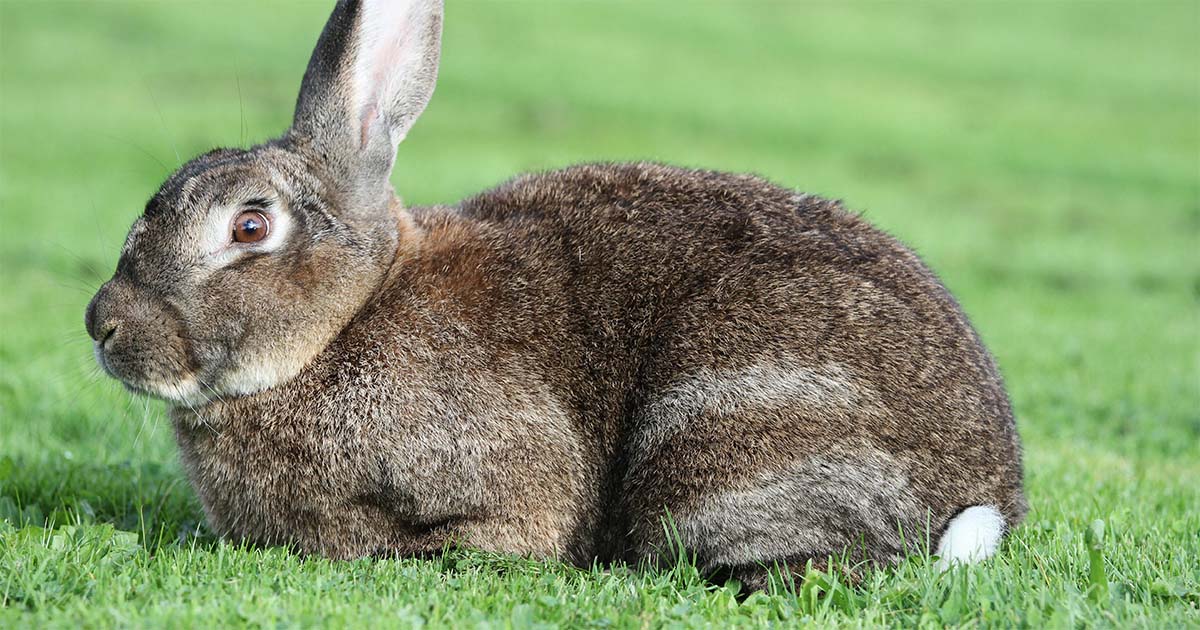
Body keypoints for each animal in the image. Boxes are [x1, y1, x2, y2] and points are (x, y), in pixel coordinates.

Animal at [85, 0, 1025, 589]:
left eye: (250, 227)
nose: (103, 325)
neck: (348, 318)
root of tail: (990, 496)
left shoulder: (502, 485)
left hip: (730, 432)